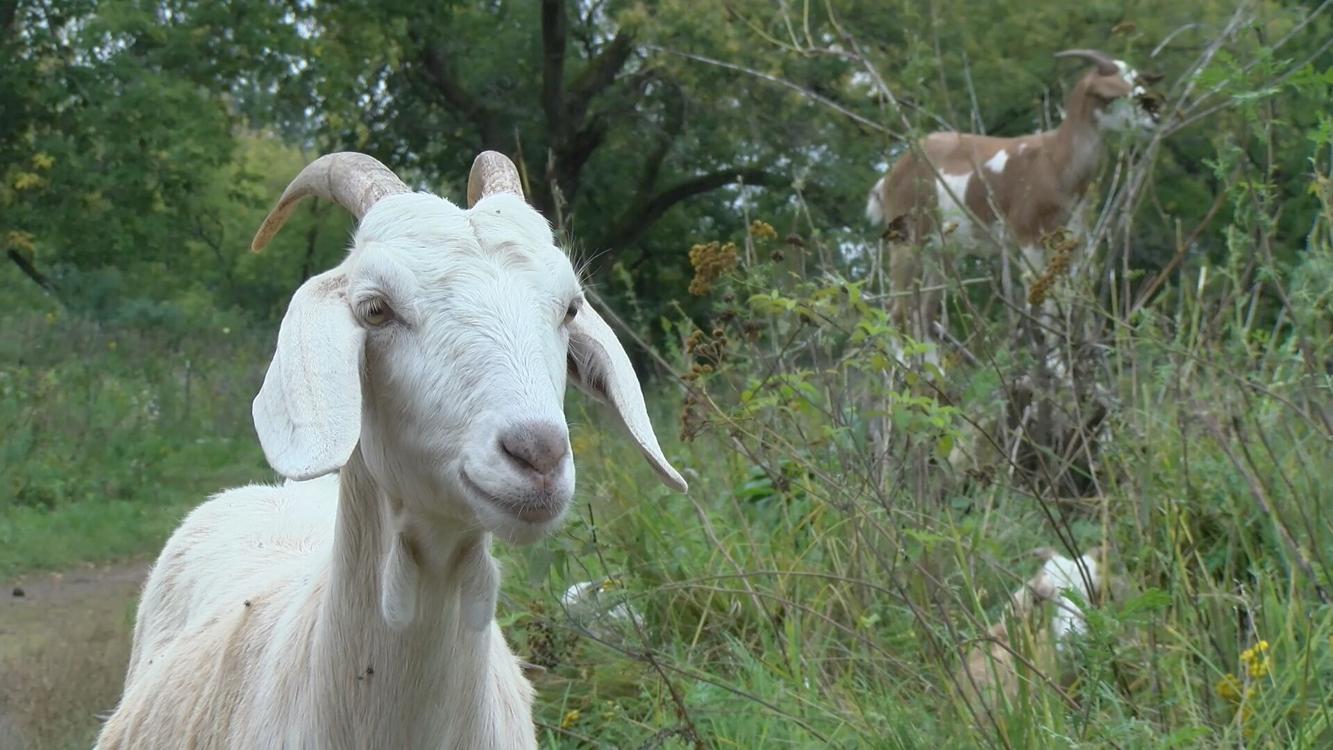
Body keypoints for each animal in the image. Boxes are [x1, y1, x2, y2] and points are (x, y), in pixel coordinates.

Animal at [866, 49, 1161, 340]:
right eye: (1117, 93)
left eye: (1140, 84)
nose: (1154, 119)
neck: (1055, 160)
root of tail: (890, 177)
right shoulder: (1028, 235)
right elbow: (1042, 304)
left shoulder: (1072, 241)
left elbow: (1063, 305)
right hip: (907, 239)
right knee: (897, 311)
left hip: (944, 249)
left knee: (923, 313)